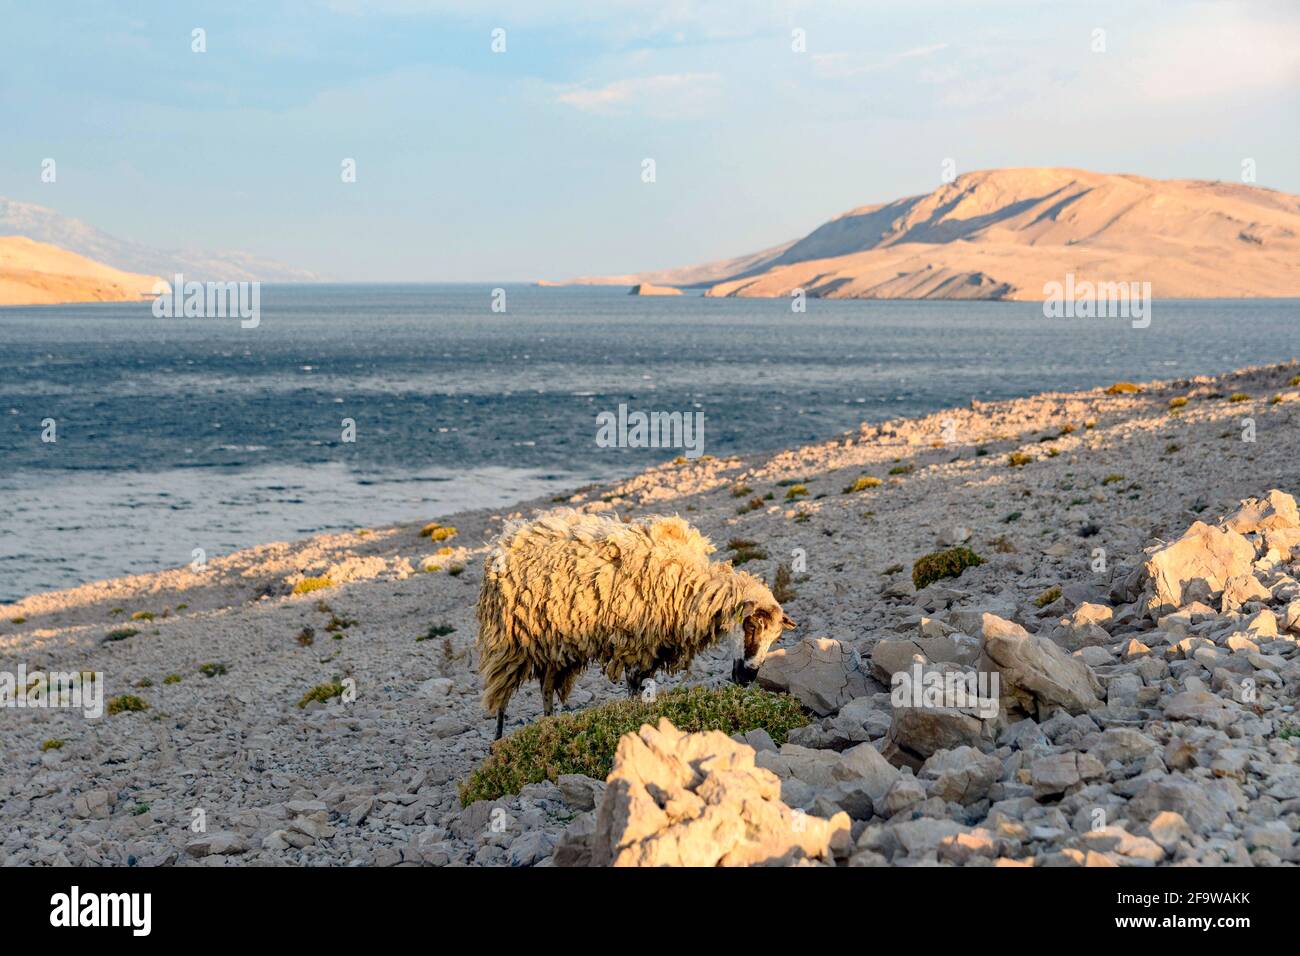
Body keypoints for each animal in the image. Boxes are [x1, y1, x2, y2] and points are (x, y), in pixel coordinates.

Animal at [476, 508, 795, 739]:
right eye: (751, 627)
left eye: (774, 639)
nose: (747, 678)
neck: (692, 587)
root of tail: (506, 538)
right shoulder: (635, 643)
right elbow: (632, 686)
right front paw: (631, 720)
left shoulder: (653, 647)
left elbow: (643, 685)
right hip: (510, 640)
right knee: (502, 695)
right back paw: (498, 741)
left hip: (552, 643)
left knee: (545, 688)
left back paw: (548, 726)